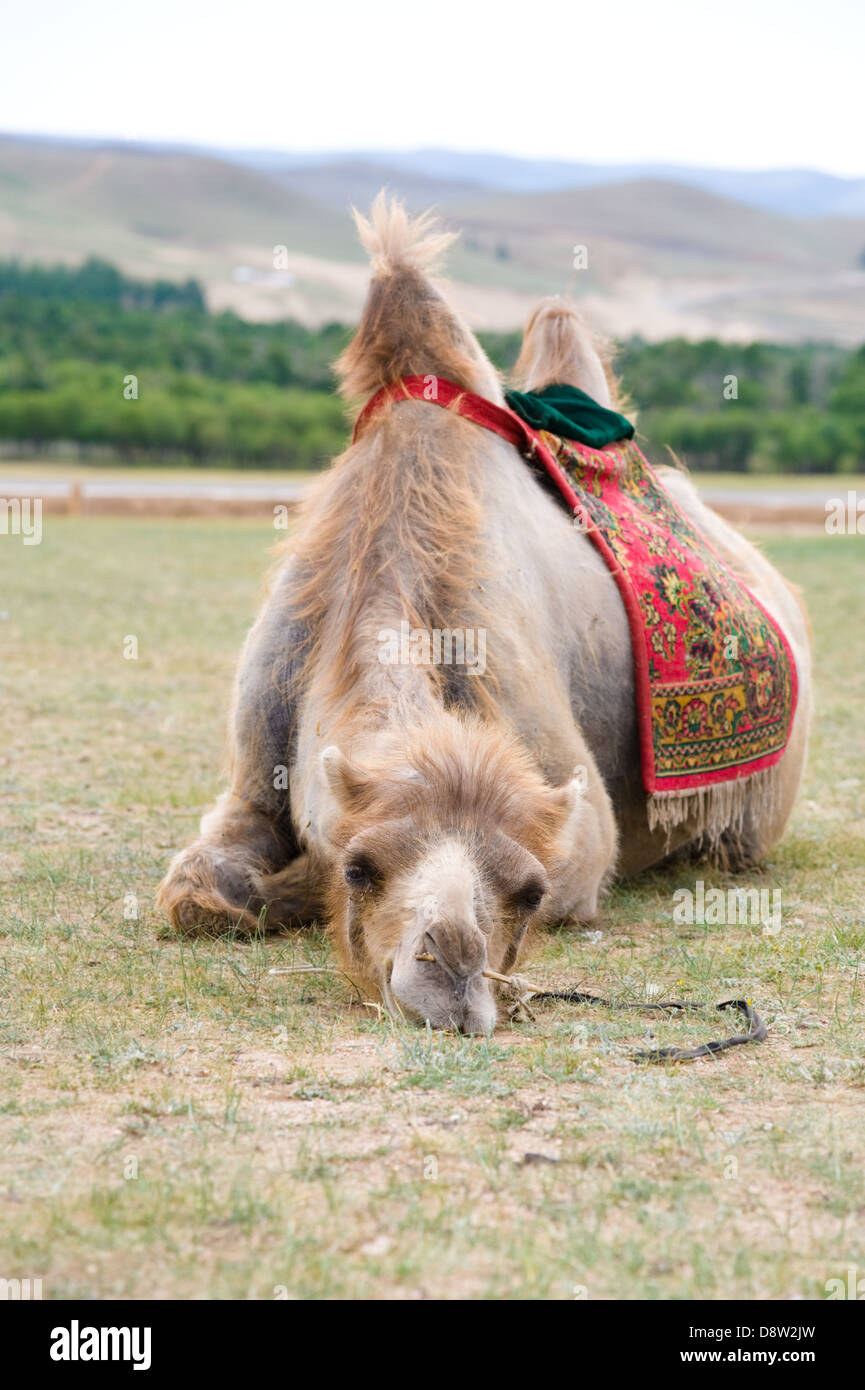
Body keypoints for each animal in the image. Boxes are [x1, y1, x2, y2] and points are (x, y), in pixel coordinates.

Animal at [157, 196, 811, 1034]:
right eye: (362, 867)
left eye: (528, 892)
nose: (449, 976)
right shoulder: (249, 777)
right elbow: (197, 895)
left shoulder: (576, 826)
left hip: (754, 812)